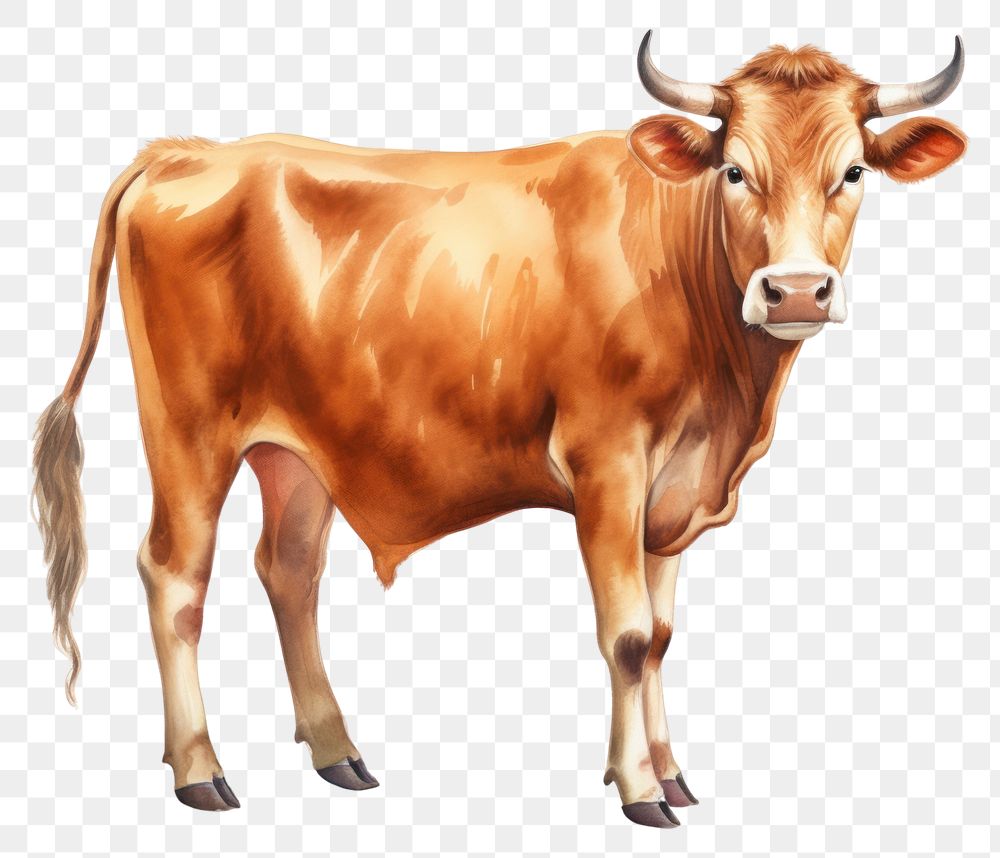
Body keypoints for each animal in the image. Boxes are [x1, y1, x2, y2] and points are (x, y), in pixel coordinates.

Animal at [32, 32, 966, 826]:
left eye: (853, 171)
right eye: (734, 172)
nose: (797, 290)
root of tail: (189, 151)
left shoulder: (674, 492)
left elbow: (662, 639)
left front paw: (672, 775)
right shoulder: (609, 464)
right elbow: (630, 637)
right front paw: (638, 790)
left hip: (295, 452)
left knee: (289, 570)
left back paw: (338, 752)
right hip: (188, 434)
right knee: (176, 577)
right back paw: (202, 771)